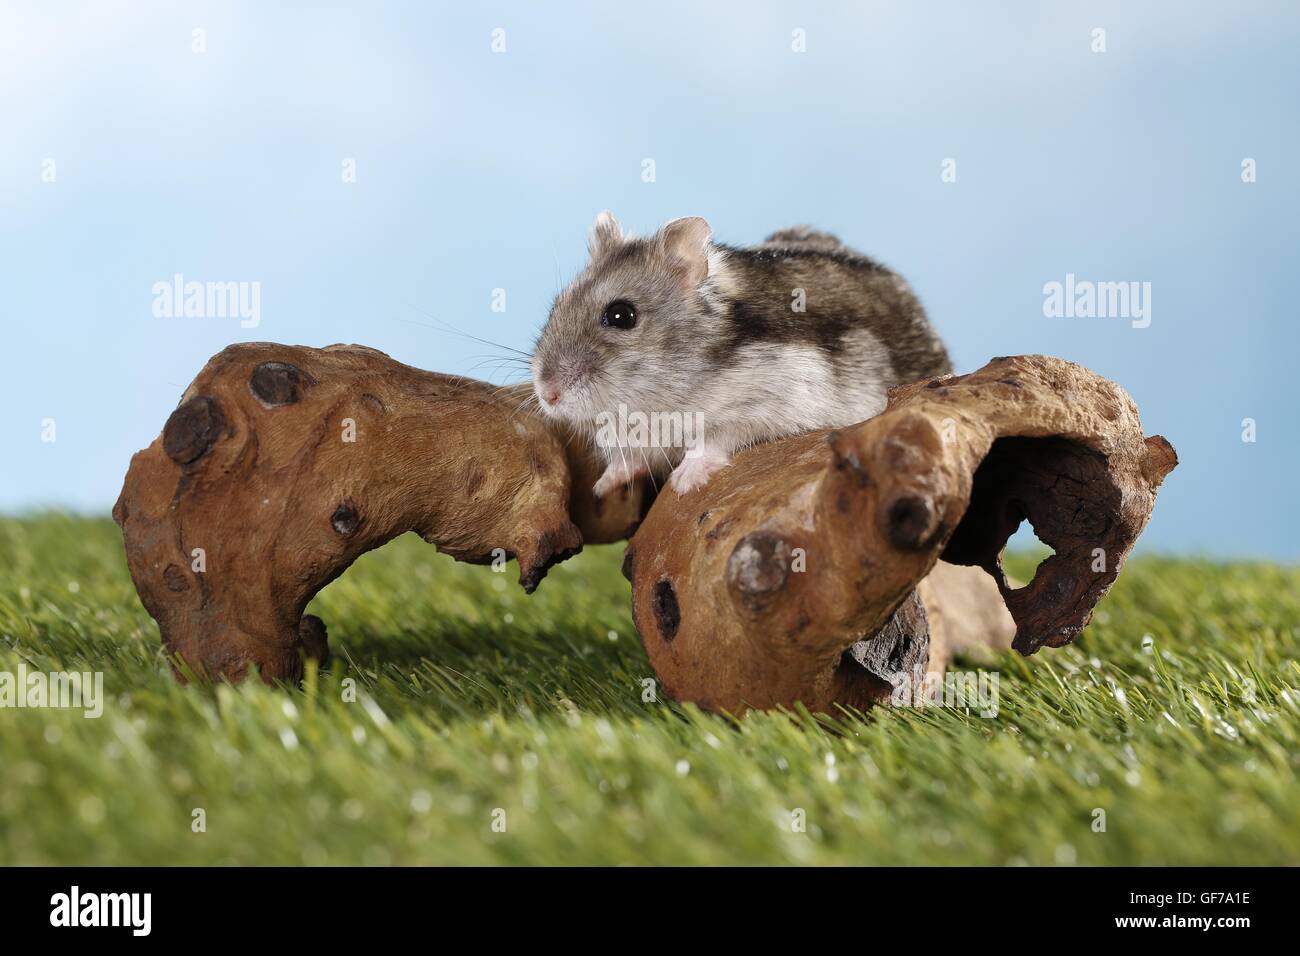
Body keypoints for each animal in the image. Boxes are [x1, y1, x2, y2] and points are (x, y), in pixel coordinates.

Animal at [531, 211, 952, 497]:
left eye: (621, 315)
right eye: (555, 305)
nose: (547, 395)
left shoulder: (766, 405)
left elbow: (714, 438)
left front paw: (683, 482)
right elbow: (629, 459)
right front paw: (602, 487)